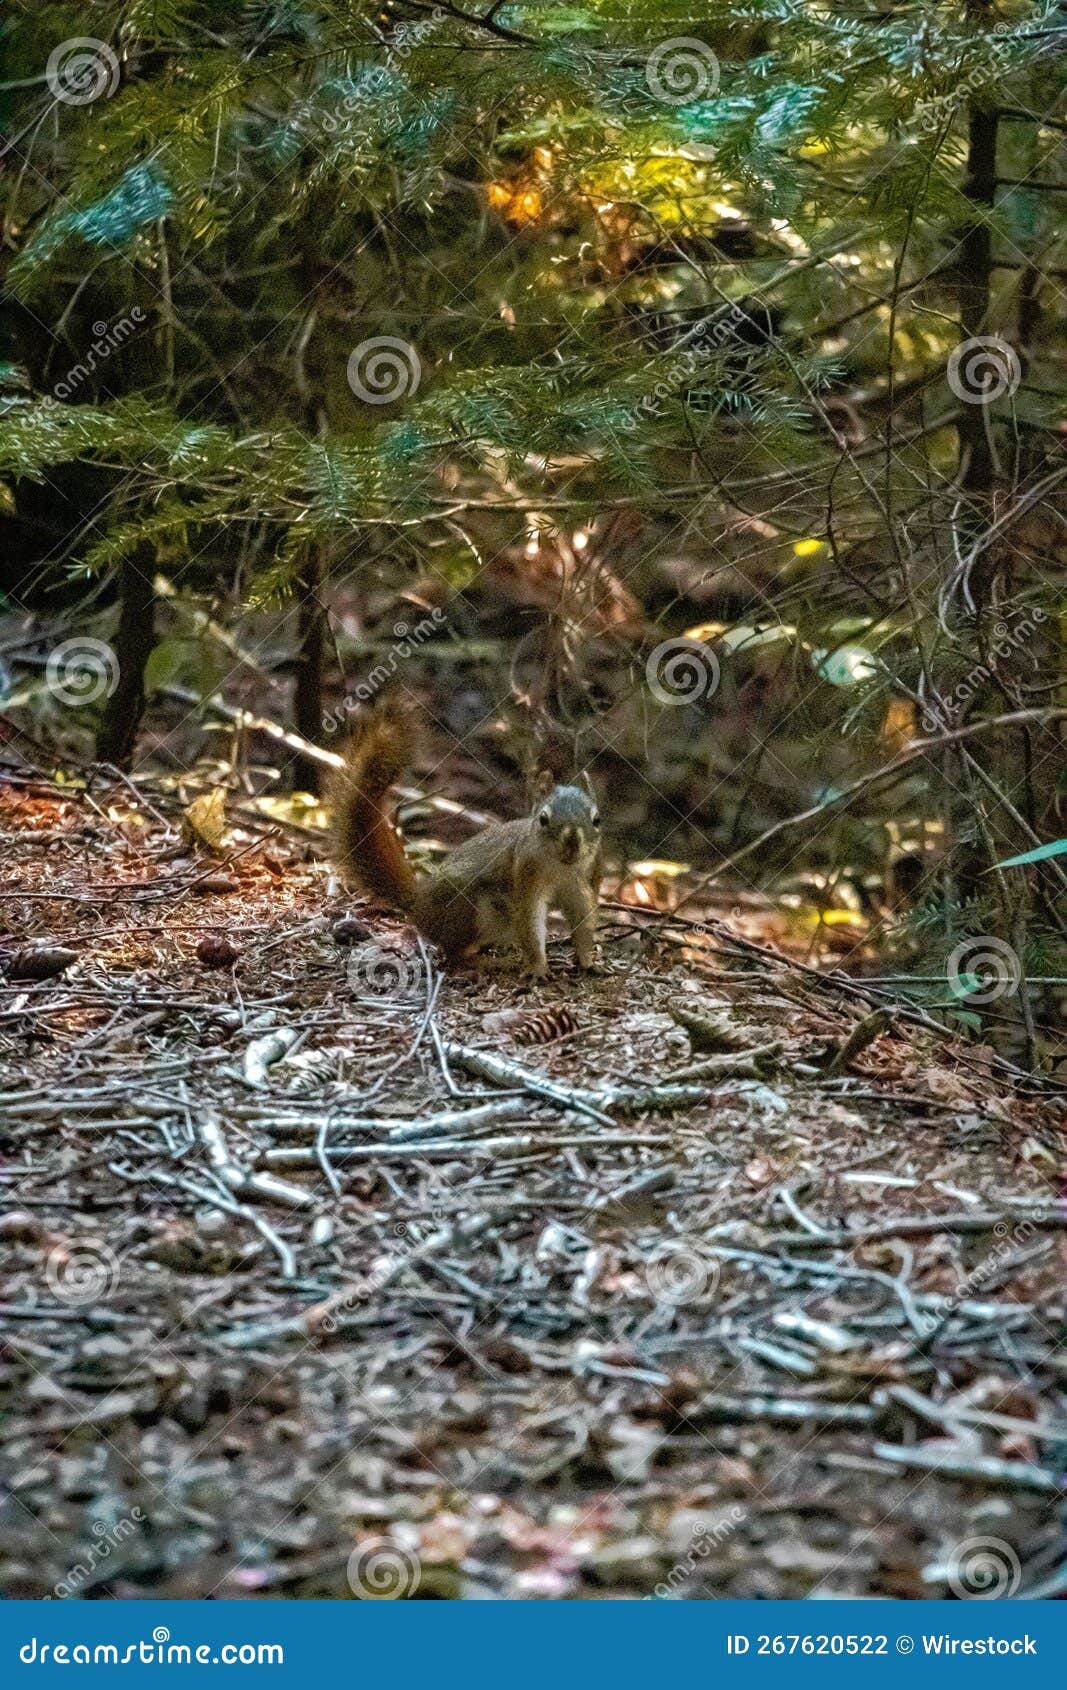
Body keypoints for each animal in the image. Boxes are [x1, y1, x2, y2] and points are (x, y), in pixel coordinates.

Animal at [330, 697, 602, 976]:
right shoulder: (525, 875)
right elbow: (530, 921)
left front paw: (587, 961)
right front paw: (538, 967)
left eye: (596, 820)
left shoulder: (583, 881)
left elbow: (583, 920)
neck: (559, 866)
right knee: (452, 953)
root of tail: (420, 906)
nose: (572, 843)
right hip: (471, 909)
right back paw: (486, 962)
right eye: (543, 819)